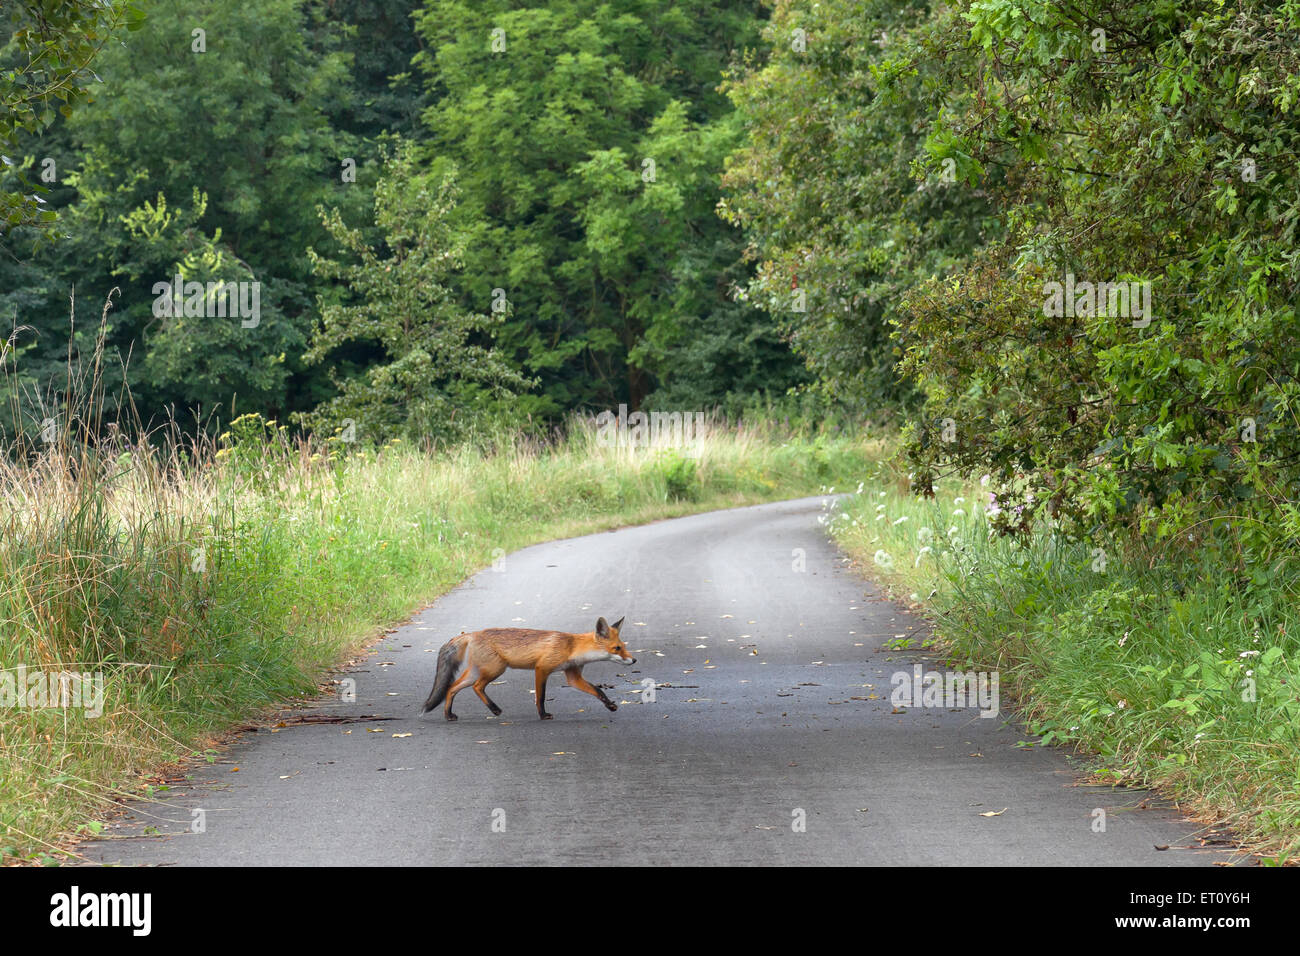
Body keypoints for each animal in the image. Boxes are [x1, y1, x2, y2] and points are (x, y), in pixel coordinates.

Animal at [420, 616, 637, 721]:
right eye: (617, 648)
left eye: (624, 646)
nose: (634, 660)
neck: (571, 648)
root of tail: (472, 633)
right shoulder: (541, 668)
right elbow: (540, 697)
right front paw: (543, 715)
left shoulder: (573, 677)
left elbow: (598, 691)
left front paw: (610, 705)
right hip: (495, 669)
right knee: (477, 687)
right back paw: (494, 709)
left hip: (476, 671)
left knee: (451, 688)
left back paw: (448, 715)